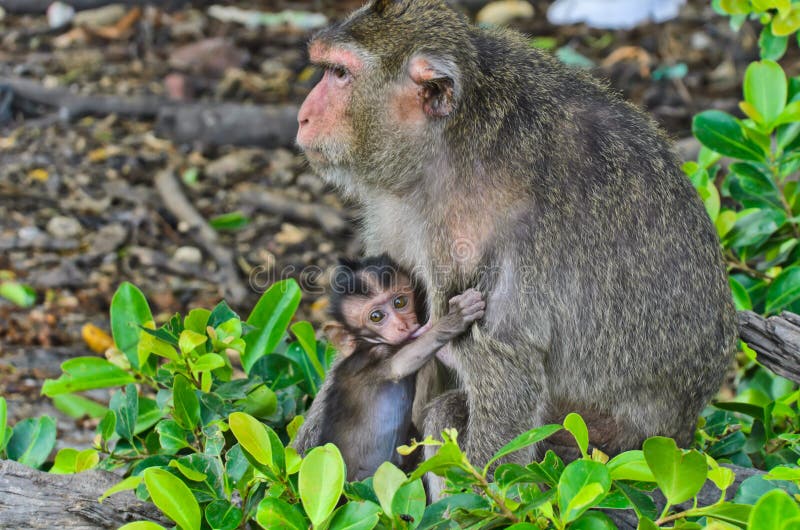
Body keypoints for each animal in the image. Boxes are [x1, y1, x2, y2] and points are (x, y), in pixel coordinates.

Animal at [293, 254, 484, 481]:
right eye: (376, 317)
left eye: (399, 302)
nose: (403, 325)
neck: (369, 342)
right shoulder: (372, 358)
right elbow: (400, 364)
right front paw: (456, 317)